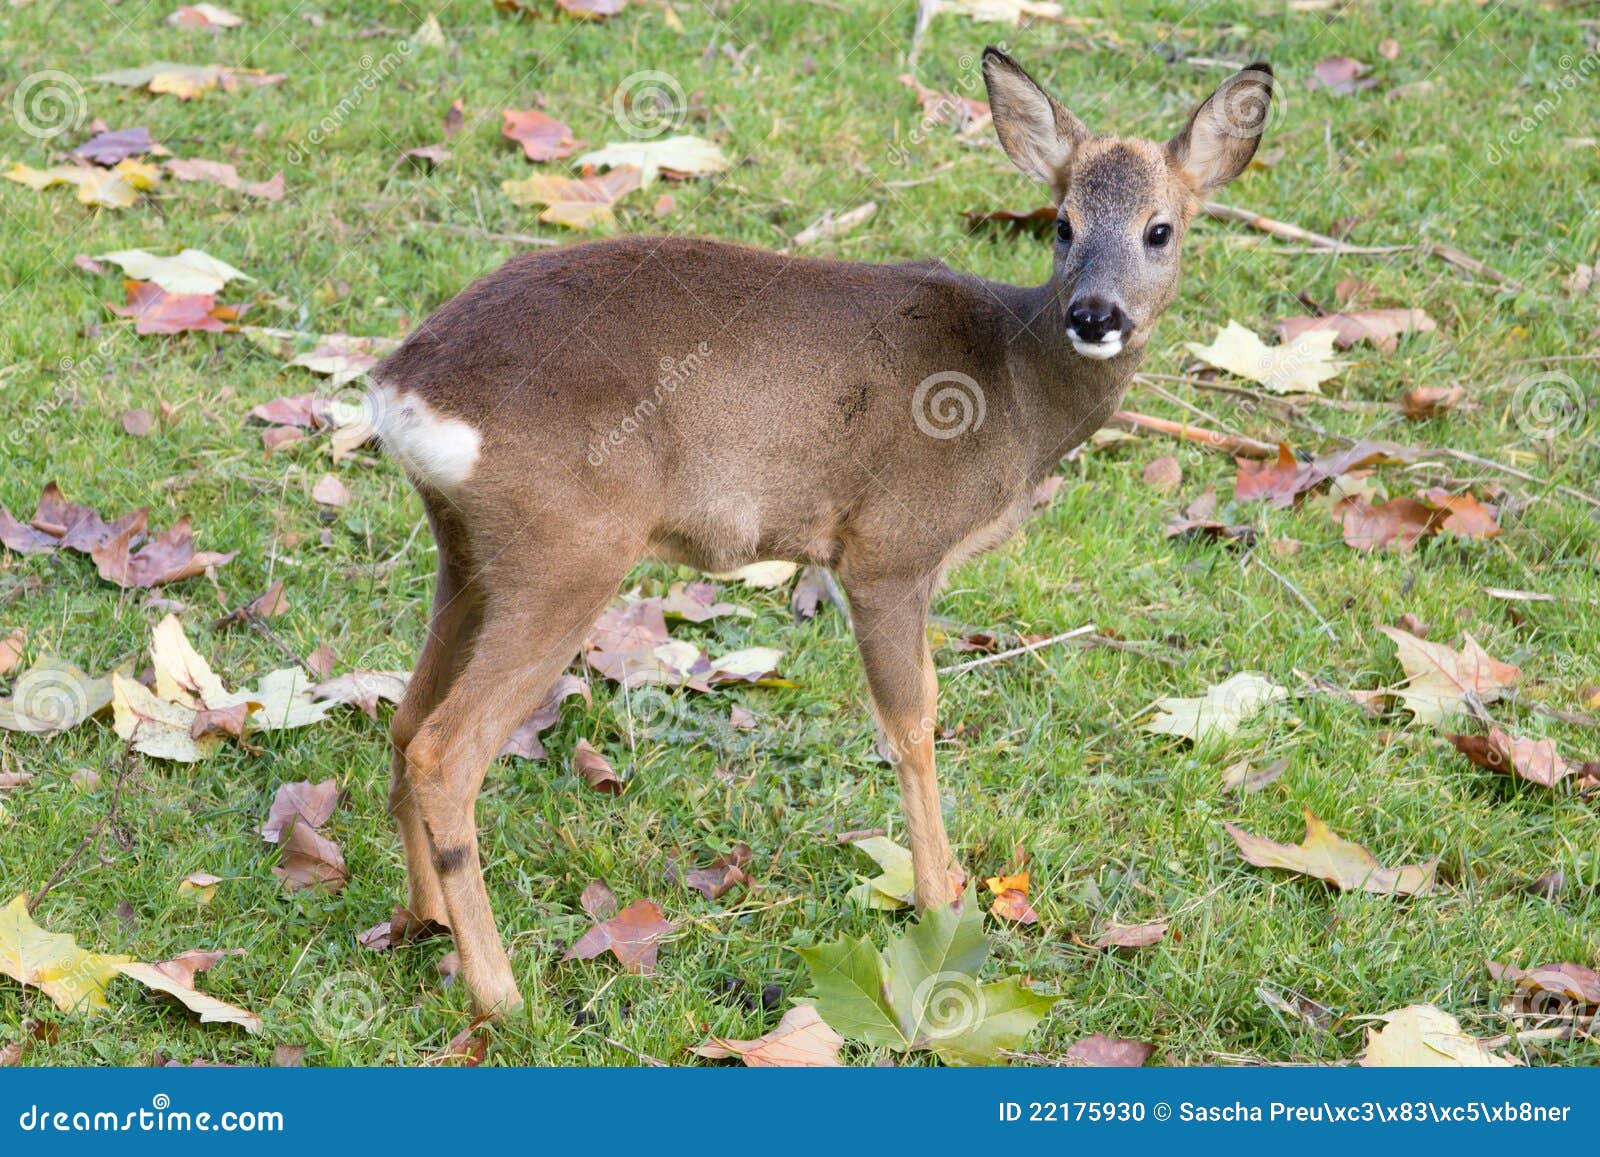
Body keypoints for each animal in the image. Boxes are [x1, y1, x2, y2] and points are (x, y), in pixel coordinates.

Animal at [369, 48, 1273, 1016]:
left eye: (1161, 229)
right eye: (1062, 224)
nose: (1096, 315)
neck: (1015, 386)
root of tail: (400, 389)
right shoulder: (888, 549)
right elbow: (912, 723)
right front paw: (938, 900)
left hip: (467, 548)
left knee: (405, 719)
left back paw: (426, 920)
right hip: (569, 547)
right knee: (445, 750)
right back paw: (500, 993)